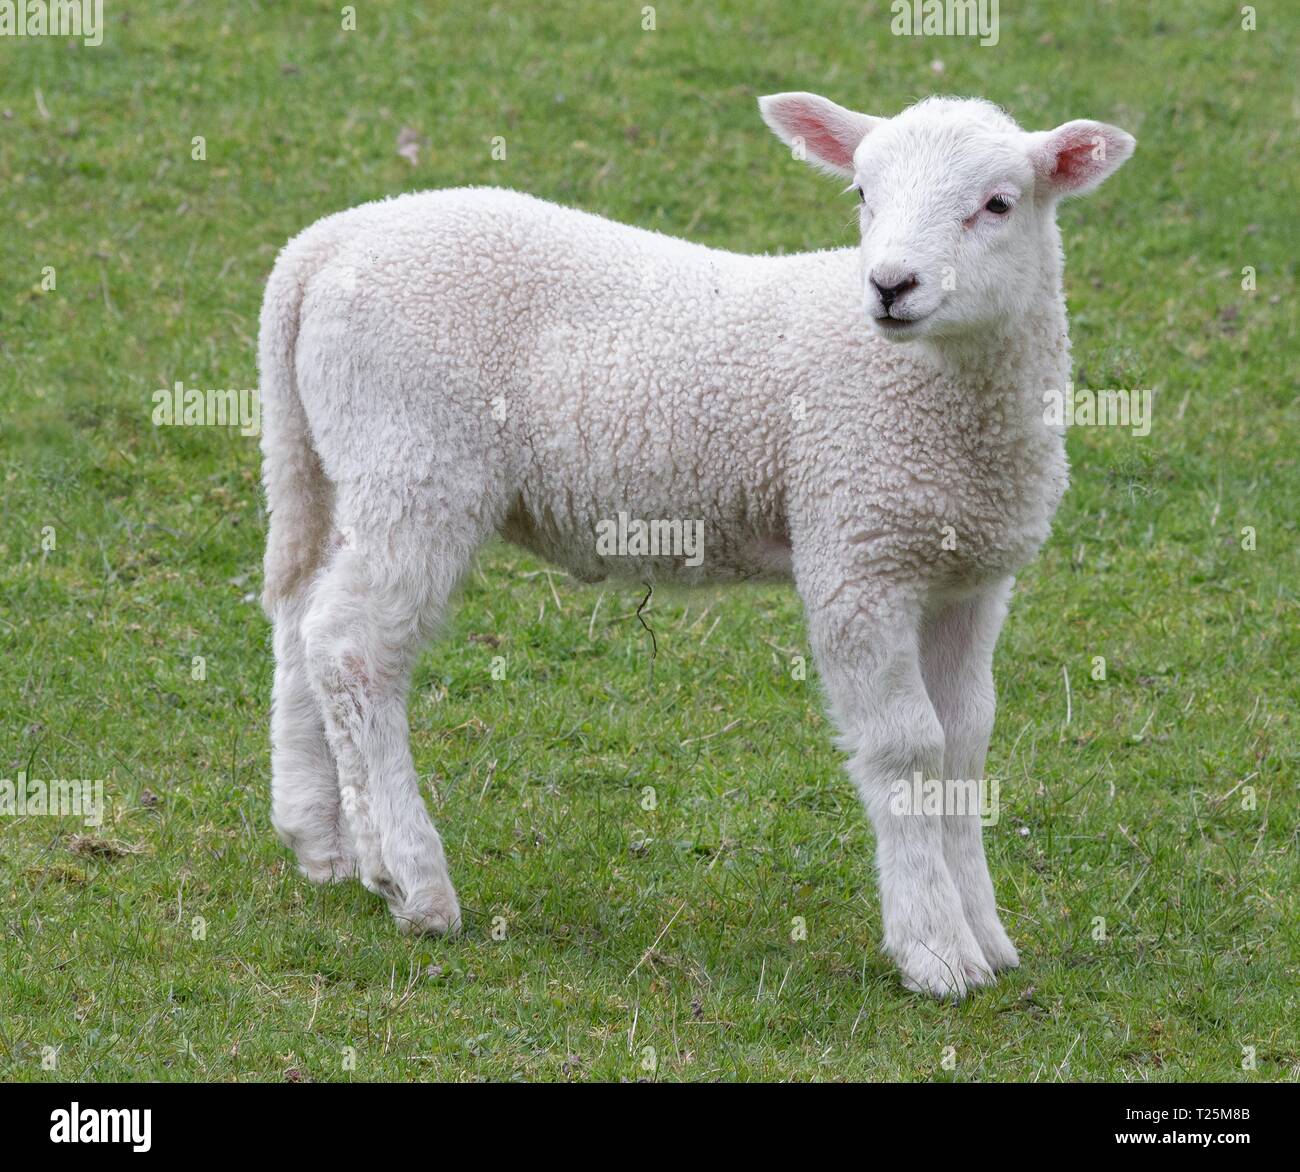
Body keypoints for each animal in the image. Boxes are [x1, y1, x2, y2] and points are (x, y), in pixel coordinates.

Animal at [259, 93, 1134, 998]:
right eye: (863, 194)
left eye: (998, 204)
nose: (891, 285)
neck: (930, 388)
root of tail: (320, 247)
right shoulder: (857, 552)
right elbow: (908, 747)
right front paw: (935, 950)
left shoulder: (968, 576)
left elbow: (963, 744)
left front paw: (987, 935)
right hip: (417, 461)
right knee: (353, 647)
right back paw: (414, 879)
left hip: (331, 456)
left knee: (299, 616)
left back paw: (322, 839)